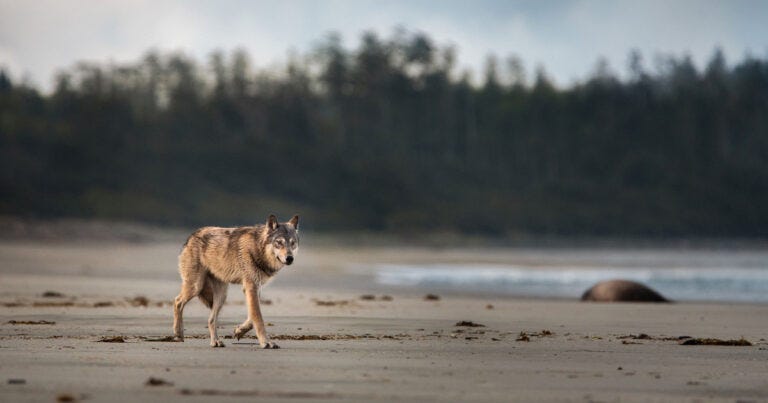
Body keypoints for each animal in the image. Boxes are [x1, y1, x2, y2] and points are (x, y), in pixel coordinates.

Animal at [173, 214, 299, 348]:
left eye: (293, 243)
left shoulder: (254, 288)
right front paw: (266, 342)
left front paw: (239, 331)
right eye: (279, 242)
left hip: (222, 296)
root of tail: (192, 235)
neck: (257, 249)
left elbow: (252, 316)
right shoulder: (250, 287)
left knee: (211, 319)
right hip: (196, 287)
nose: (289, 258)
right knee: (177, 301)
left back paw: (215, 342)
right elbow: (258, 318)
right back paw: (178, 333)